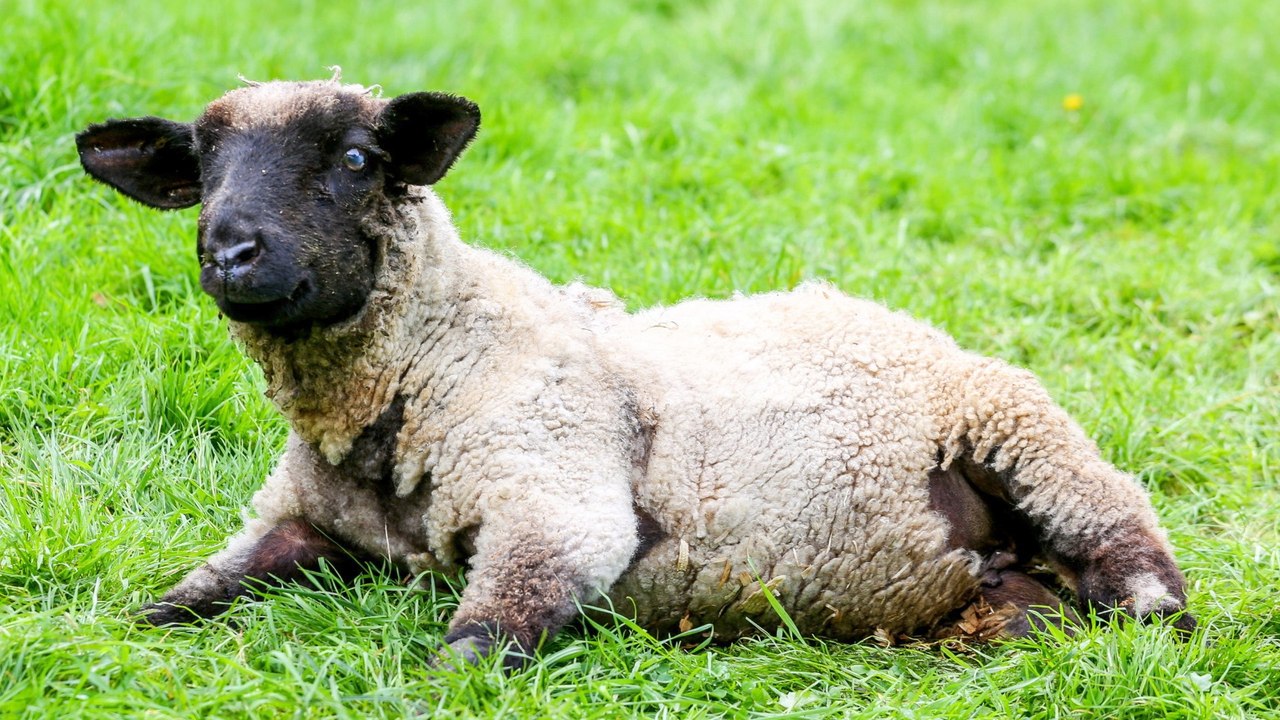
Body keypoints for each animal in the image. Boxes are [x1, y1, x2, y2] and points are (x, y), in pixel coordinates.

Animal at [76, 78, 1193, 668]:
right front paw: (120, 632)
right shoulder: (292, 519)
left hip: (1024, 434)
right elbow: (183, 598)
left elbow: (474, 643)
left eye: (355, 159)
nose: (228, 251)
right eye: (202, 169)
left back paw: (1145, 617)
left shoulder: (555, 501)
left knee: (1128, 540)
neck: (433, 357)